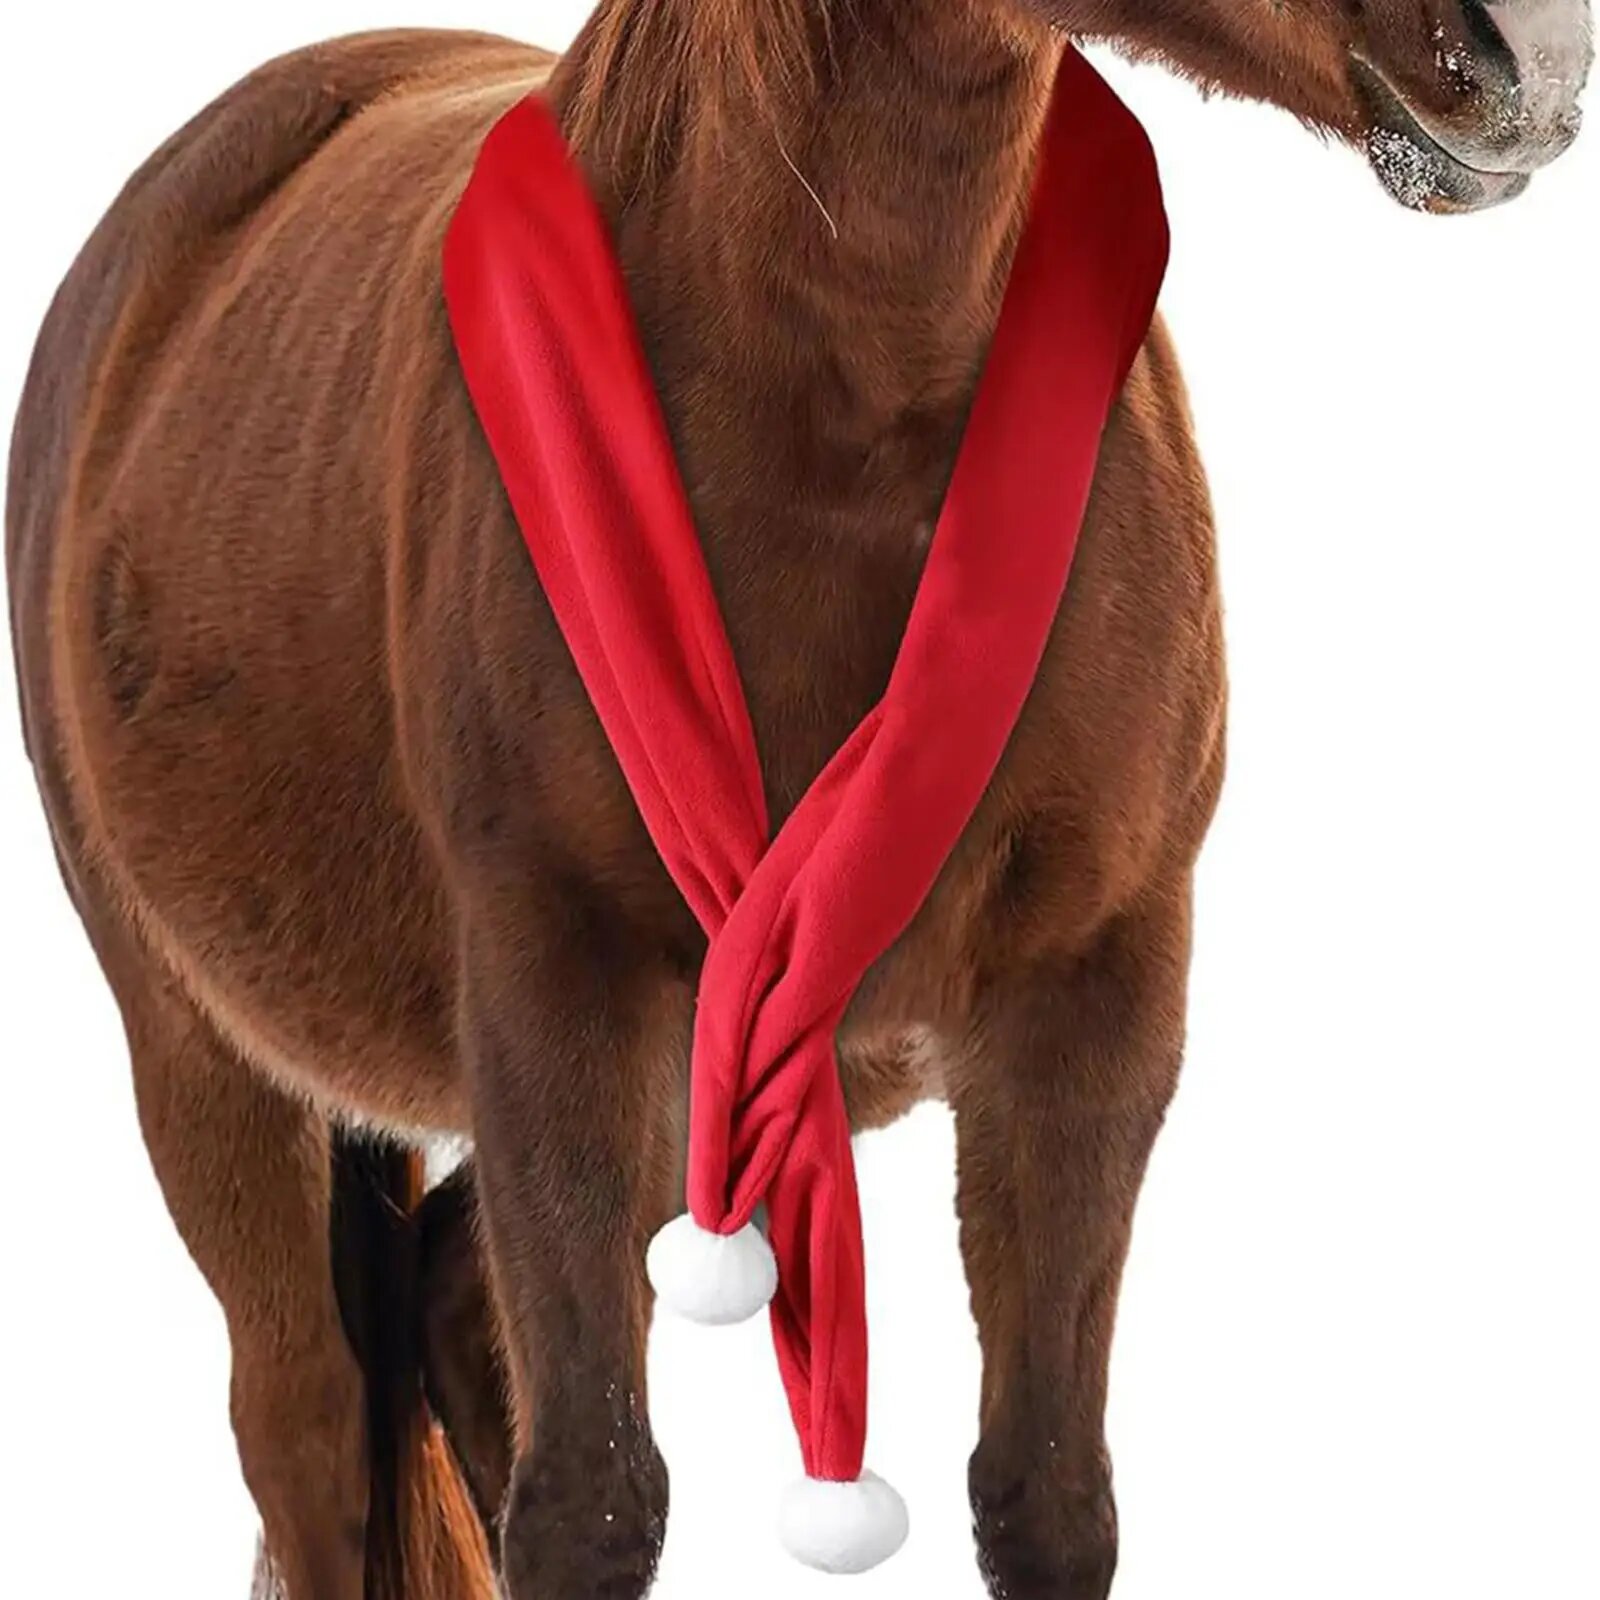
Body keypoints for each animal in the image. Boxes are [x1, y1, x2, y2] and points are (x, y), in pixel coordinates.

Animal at [6, 1, 1590, 1597]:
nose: (1539, 56)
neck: (845, 406)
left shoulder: (1094, 995)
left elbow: (1048, 1494)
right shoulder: (554, 986)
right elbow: (590, 1502)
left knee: (451, 1298)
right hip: (207, 1062)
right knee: (313, 1436)